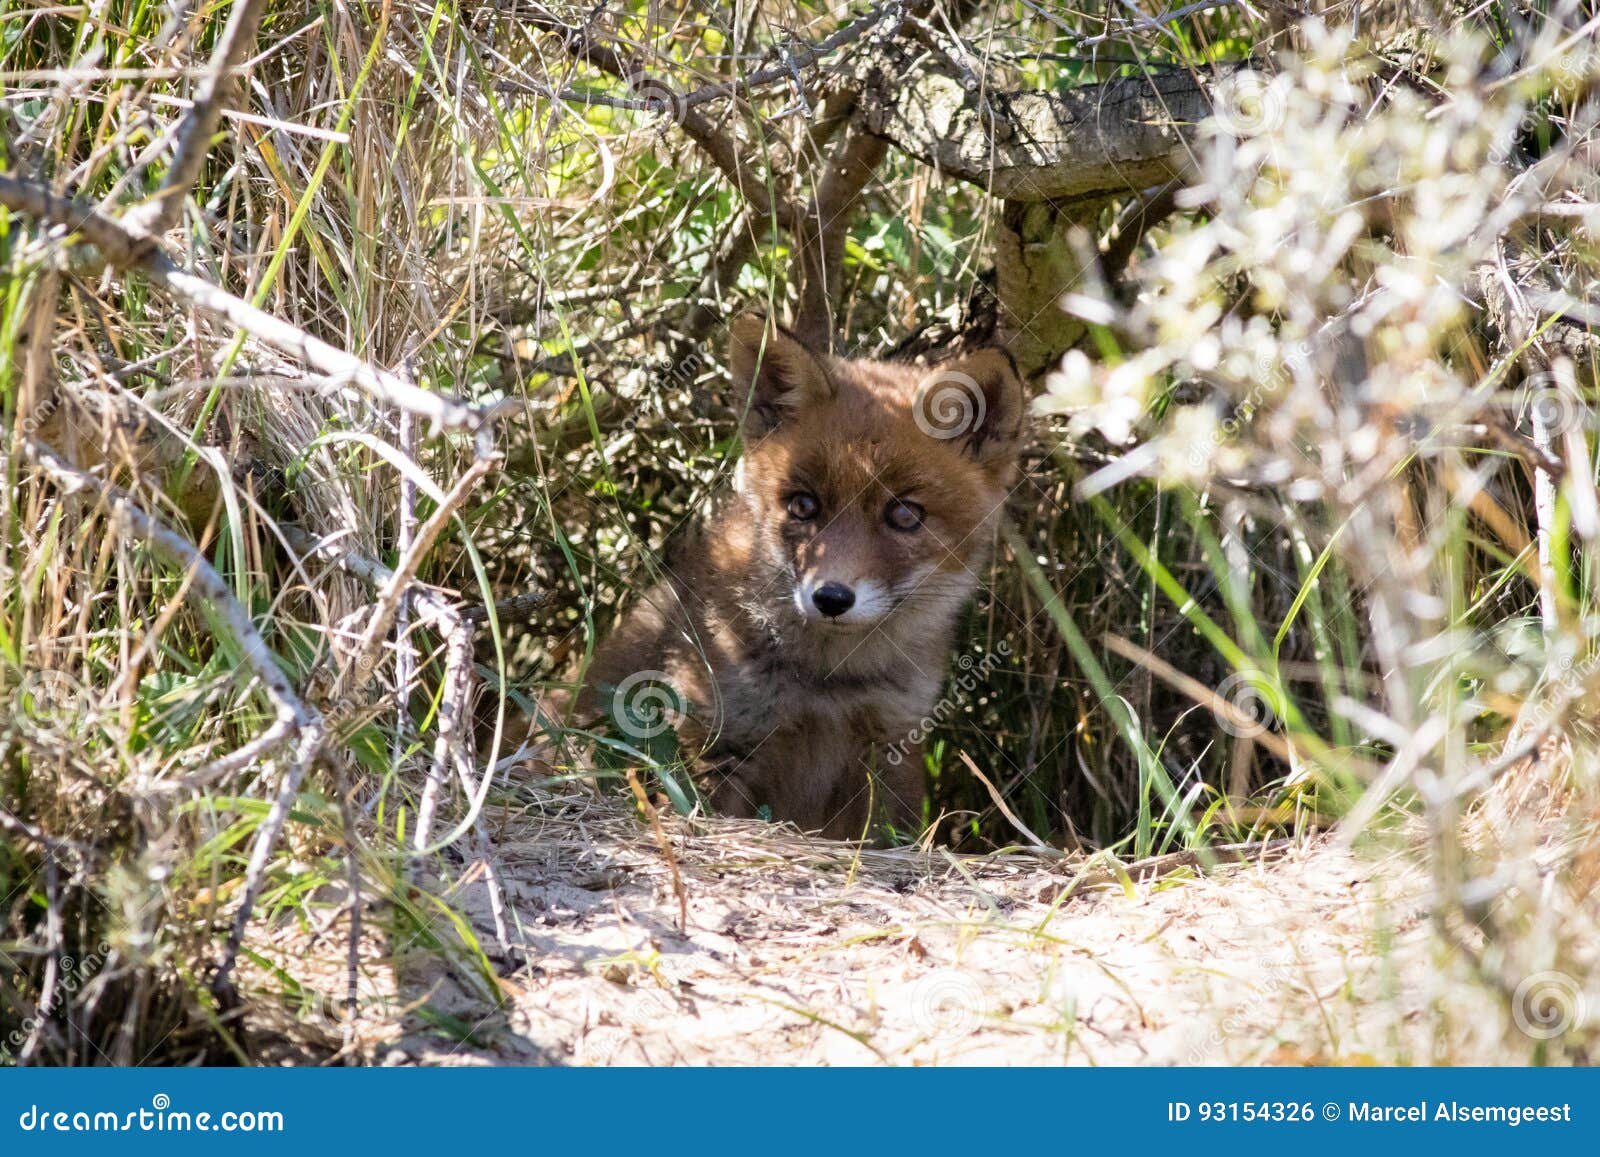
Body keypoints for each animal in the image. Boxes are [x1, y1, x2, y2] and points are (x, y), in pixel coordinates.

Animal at [569, 314, 1027, 840]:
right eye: (804, 505)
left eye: (905, 514)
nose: (831, 597)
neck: (828, 686)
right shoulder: (717, 743)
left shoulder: (890, 742)